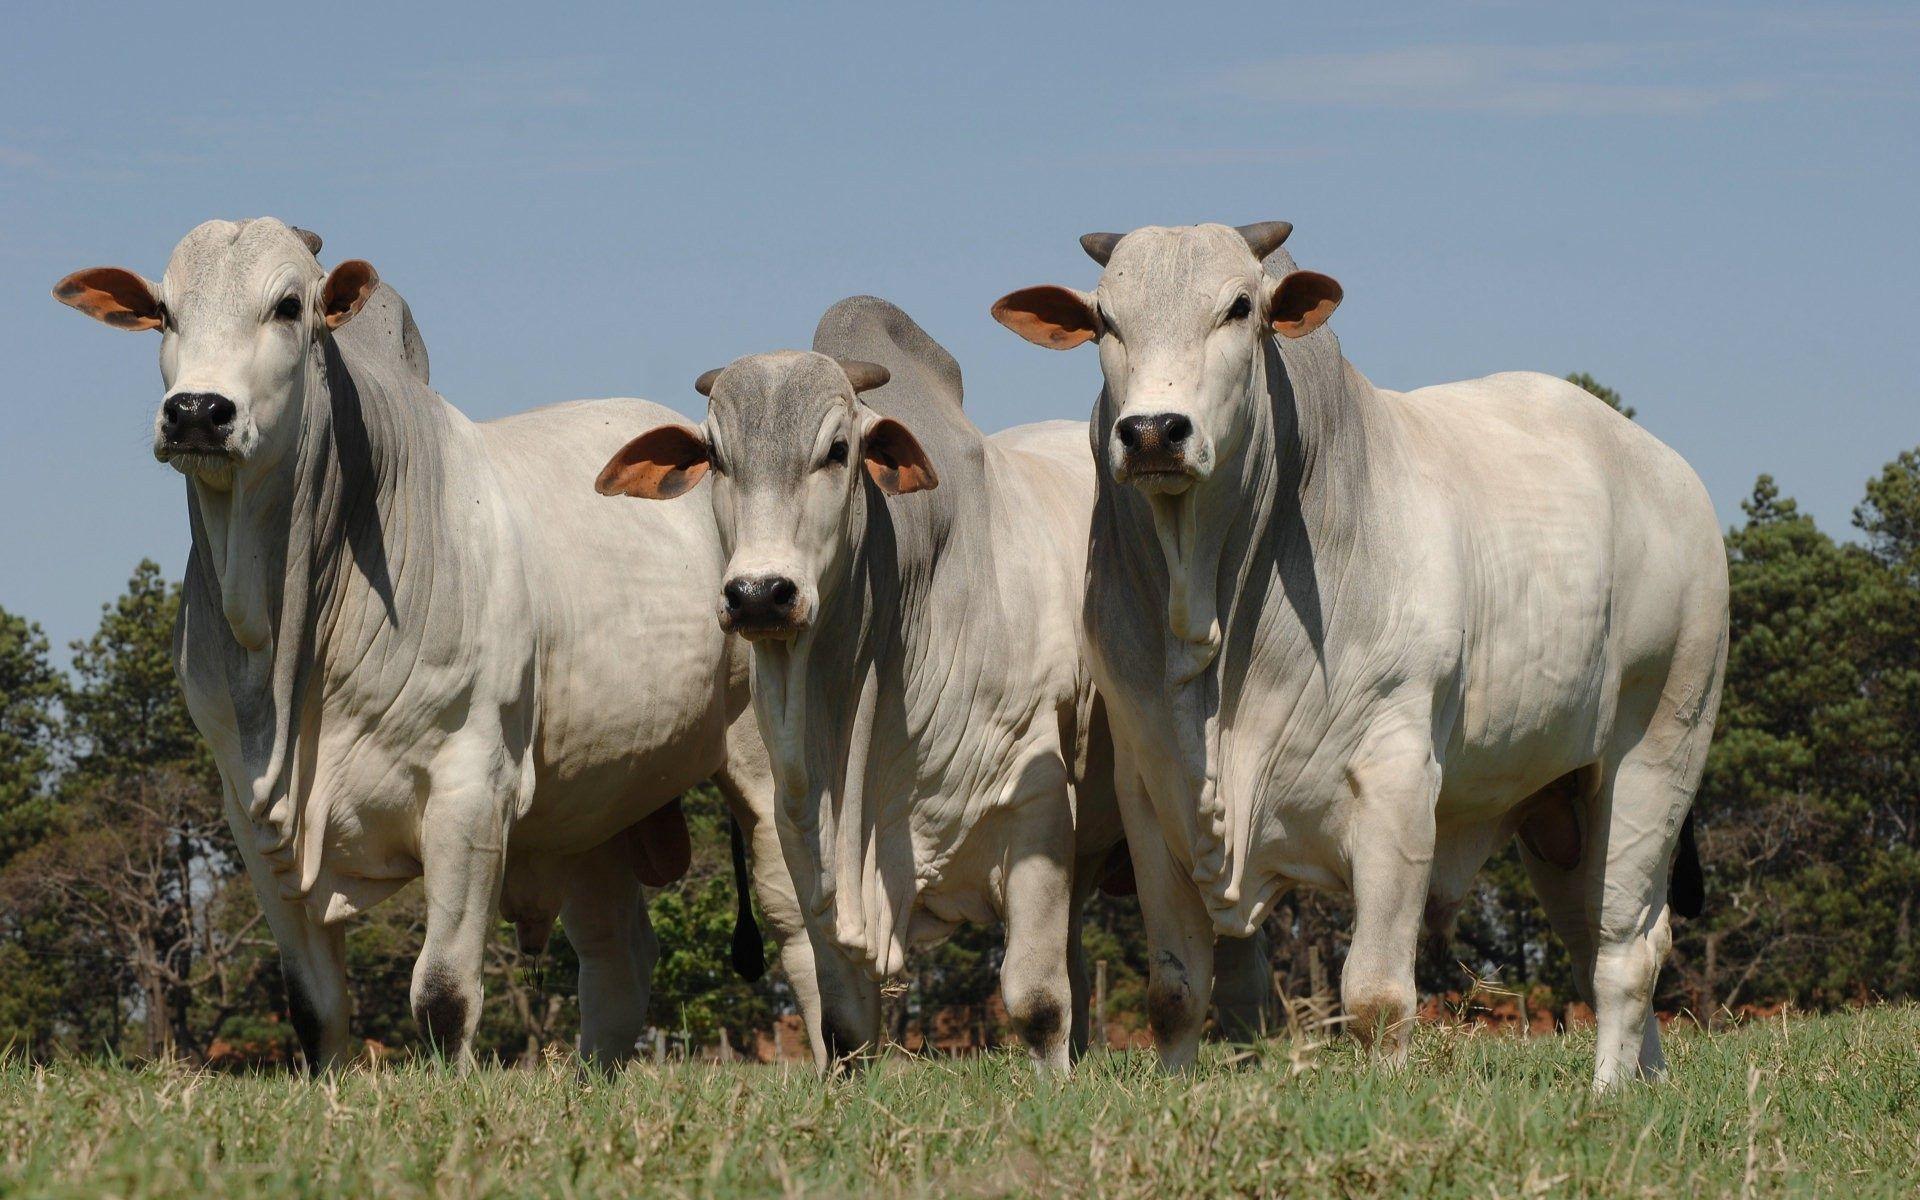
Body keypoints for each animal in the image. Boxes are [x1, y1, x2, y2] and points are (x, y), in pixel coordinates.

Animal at [50, 217, 866, 1070]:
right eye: (165, 313)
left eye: (288, 306)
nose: (197, 411)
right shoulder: (252, 813)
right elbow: (314, 1007)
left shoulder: (470, 787)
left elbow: (441, 993)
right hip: (593, 803)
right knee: (617, 954)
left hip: (768, 772)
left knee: (800, 931)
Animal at [596, 297, 1136, 1069]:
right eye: (716, 458)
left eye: (837, 451)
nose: (759, 593)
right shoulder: (803, 846)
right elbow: (845, 1026)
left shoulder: (1034, 807)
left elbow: (1036, 999)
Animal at [991, 222, 1726, 1090]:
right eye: (1105, 320)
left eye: (1240, 307)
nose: (1151, 432)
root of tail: (1671, 475)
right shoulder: (1150, 793)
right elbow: (1174, 992)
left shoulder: (1397, 782)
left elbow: (1375, 995)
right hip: (1562, 806)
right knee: (1602, 937)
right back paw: (1649, 1078)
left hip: (1659, 748)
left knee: (1626, 949)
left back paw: (1609, 1089)